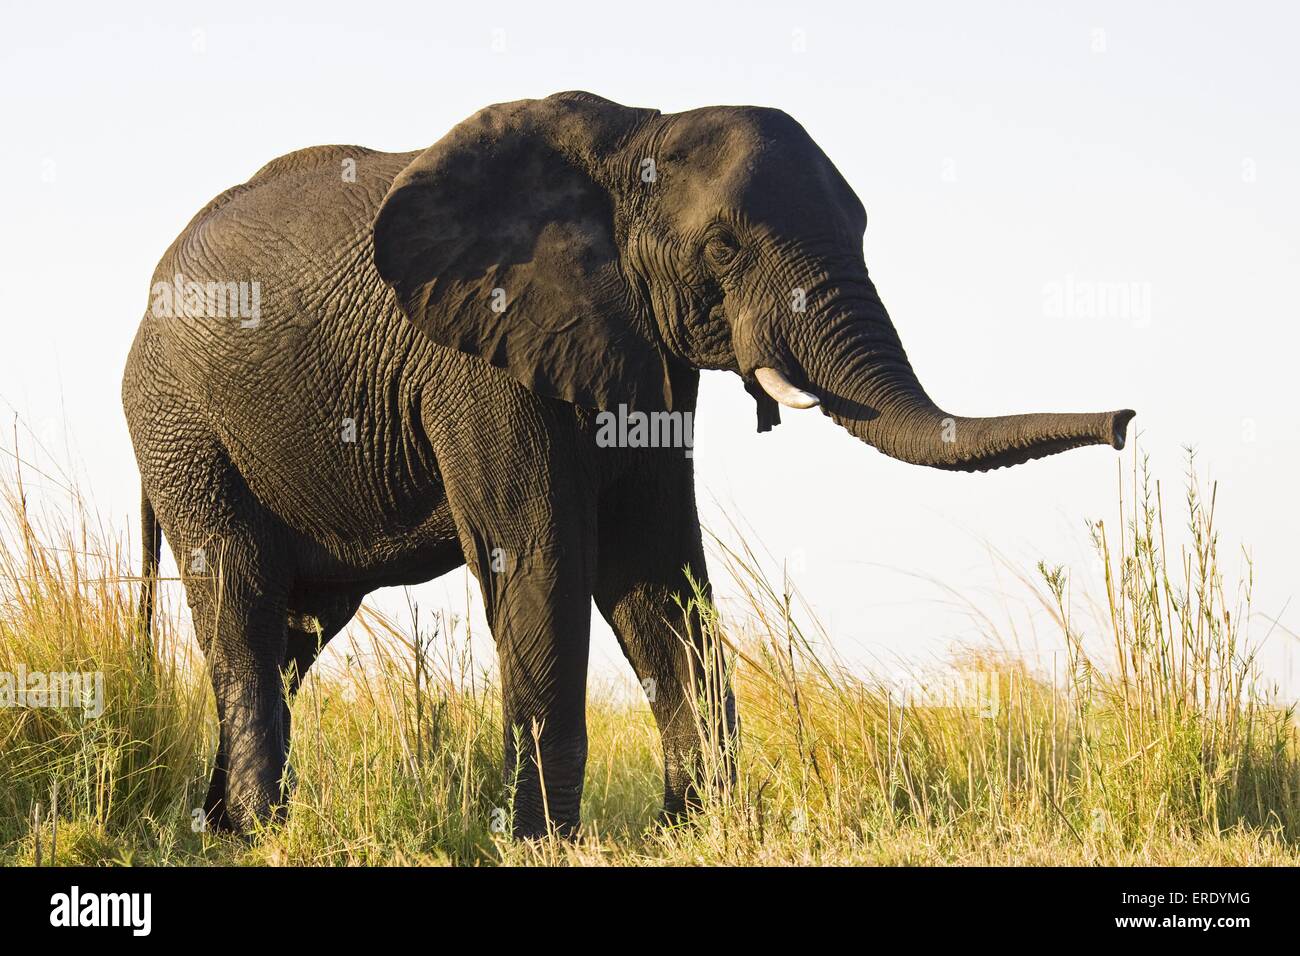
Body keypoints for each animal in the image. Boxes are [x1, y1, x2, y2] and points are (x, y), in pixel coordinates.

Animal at [122, 90, 1134, 839]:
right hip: (181, 430)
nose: (1126, 421)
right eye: (723, 247)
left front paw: (701, 832)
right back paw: (262, 833)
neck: (630, 138)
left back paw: (223, 829)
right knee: (244, 603)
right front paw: (543, 845)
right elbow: (542, 557)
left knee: (295, 630)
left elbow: (658, 566)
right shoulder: (478, 356)